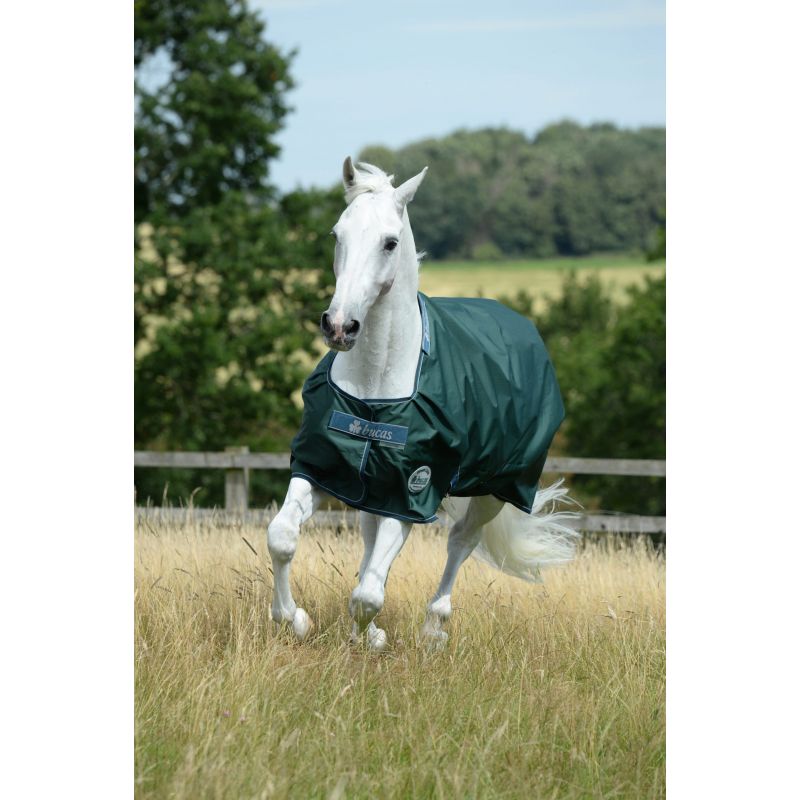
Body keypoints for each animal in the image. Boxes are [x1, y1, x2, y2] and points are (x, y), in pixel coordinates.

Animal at [267, 157, 578, 651]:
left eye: (390, 242)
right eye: (337, 234)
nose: (339, 326)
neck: (376, 386)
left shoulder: (412, 491)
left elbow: (368, 596)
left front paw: (370, 638)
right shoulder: (322, 469)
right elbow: (282, 537)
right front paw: (293, 619)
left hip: (497, 489)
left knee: (460, 542)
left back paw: (434, 628)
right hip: (374, 490)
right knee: (372, 542)